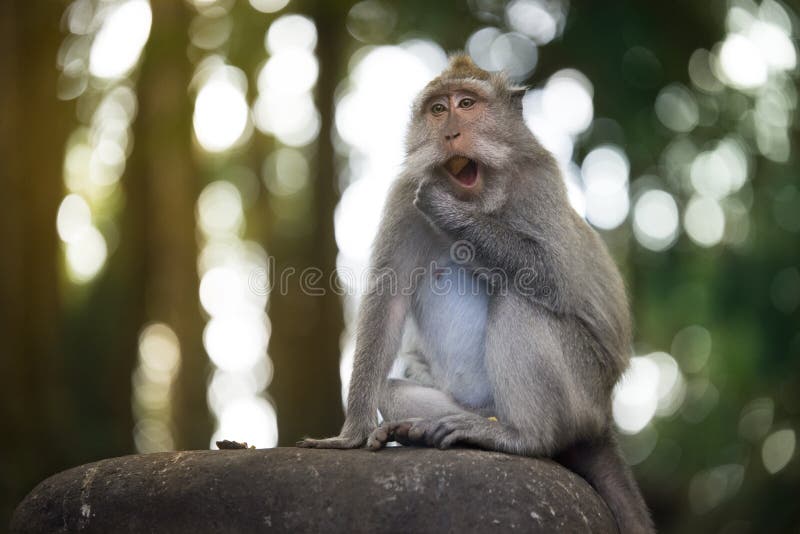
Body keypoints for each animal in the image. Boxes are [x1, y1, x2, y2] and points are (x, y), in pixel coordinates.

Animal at [298, 54, 654, 533]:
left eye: (466, 103)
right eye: (437, 109)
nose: (450, 132)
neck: (484, 196)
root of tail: (603, 419)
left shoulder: (540, 182)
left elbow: (553, 276)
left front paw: (449, 210)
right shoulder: (401, 196)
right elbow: (387, 305)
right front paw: (351, 433)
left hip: (584, 388)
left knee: (520, 300)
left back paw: (524, 436)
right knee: (394, 392)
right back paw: (425, 430)